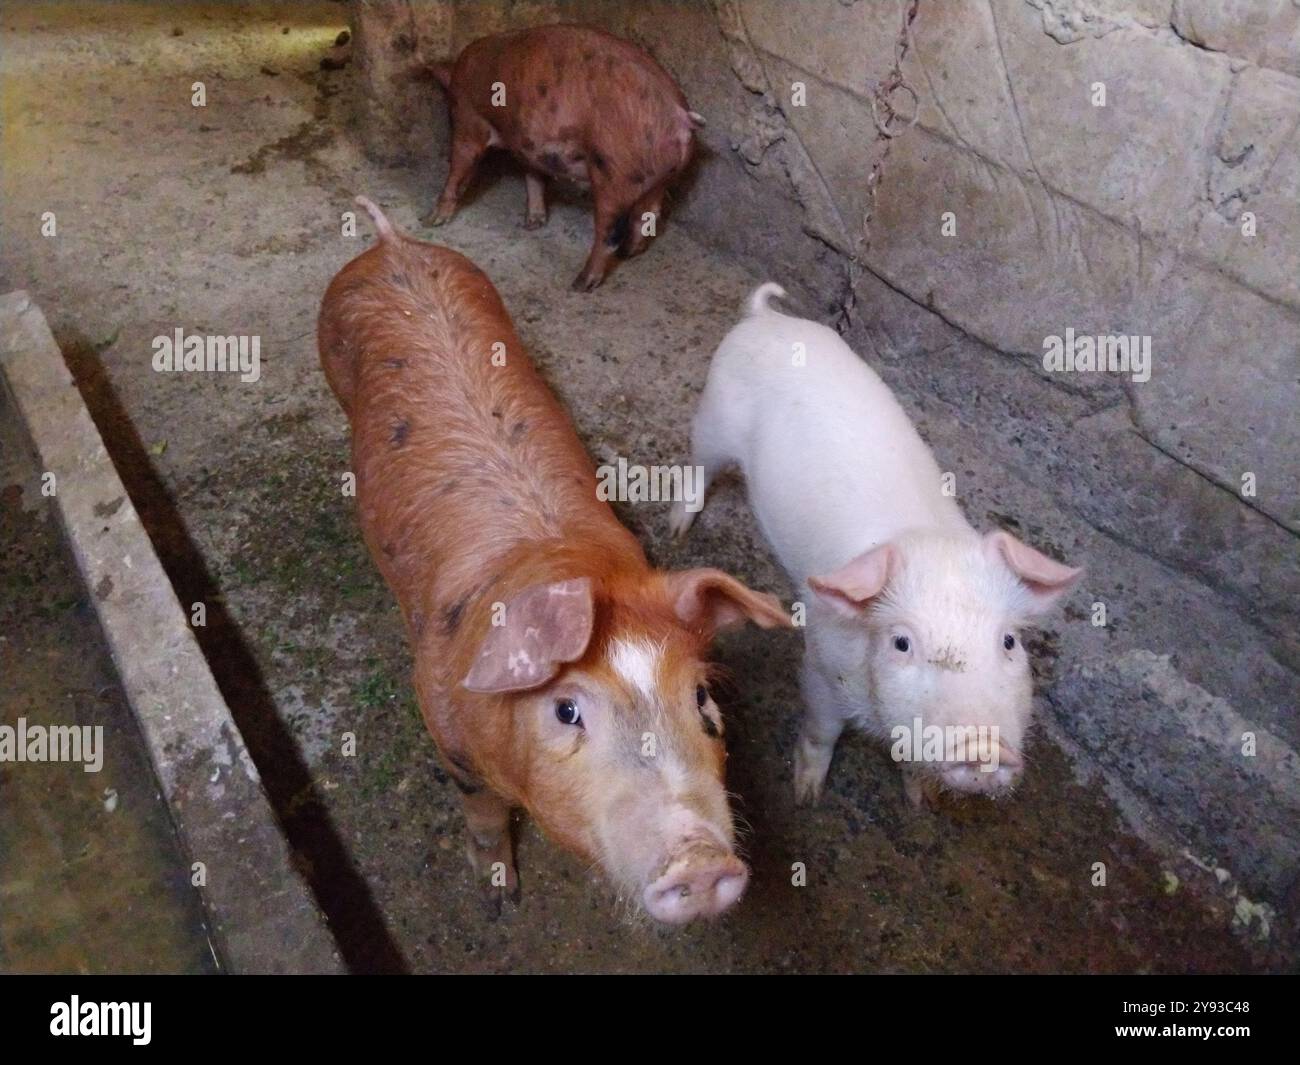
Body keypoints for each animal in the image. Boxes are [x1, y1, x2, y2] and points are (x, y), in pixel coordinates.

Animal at [318, 198, 791, 923]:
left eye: (702, 698)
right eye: (566, 710)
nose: (702, 860)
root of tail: (391, 243)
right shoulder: (444, 729)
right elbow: (484, 817)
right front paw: (501, 901)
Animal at [423, 24, 703, 291]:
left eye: (449, 111)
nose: (425, 220)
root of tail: (680, 116)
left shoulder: (469, 119)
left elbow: (459, 166)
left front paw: (431, 221)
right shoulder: (528, 145)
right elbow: (533, 176)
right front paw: (533, 223)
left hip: (614, 171)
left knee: (609, 232)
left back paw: (580, 283)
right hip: (660, 177)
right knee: (650, 213)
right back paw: (629, 253)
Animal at [669, 283, 1082, 808]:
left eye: (1009, 641)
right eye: (901, 642)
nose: (983, 748)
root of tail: (765, 319)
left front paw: (918, 801)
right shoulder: (821, 665)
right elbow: (821, 730)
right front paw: (807, 796)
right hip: (713, 421)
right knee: (698, 468)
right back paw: (677, 530)